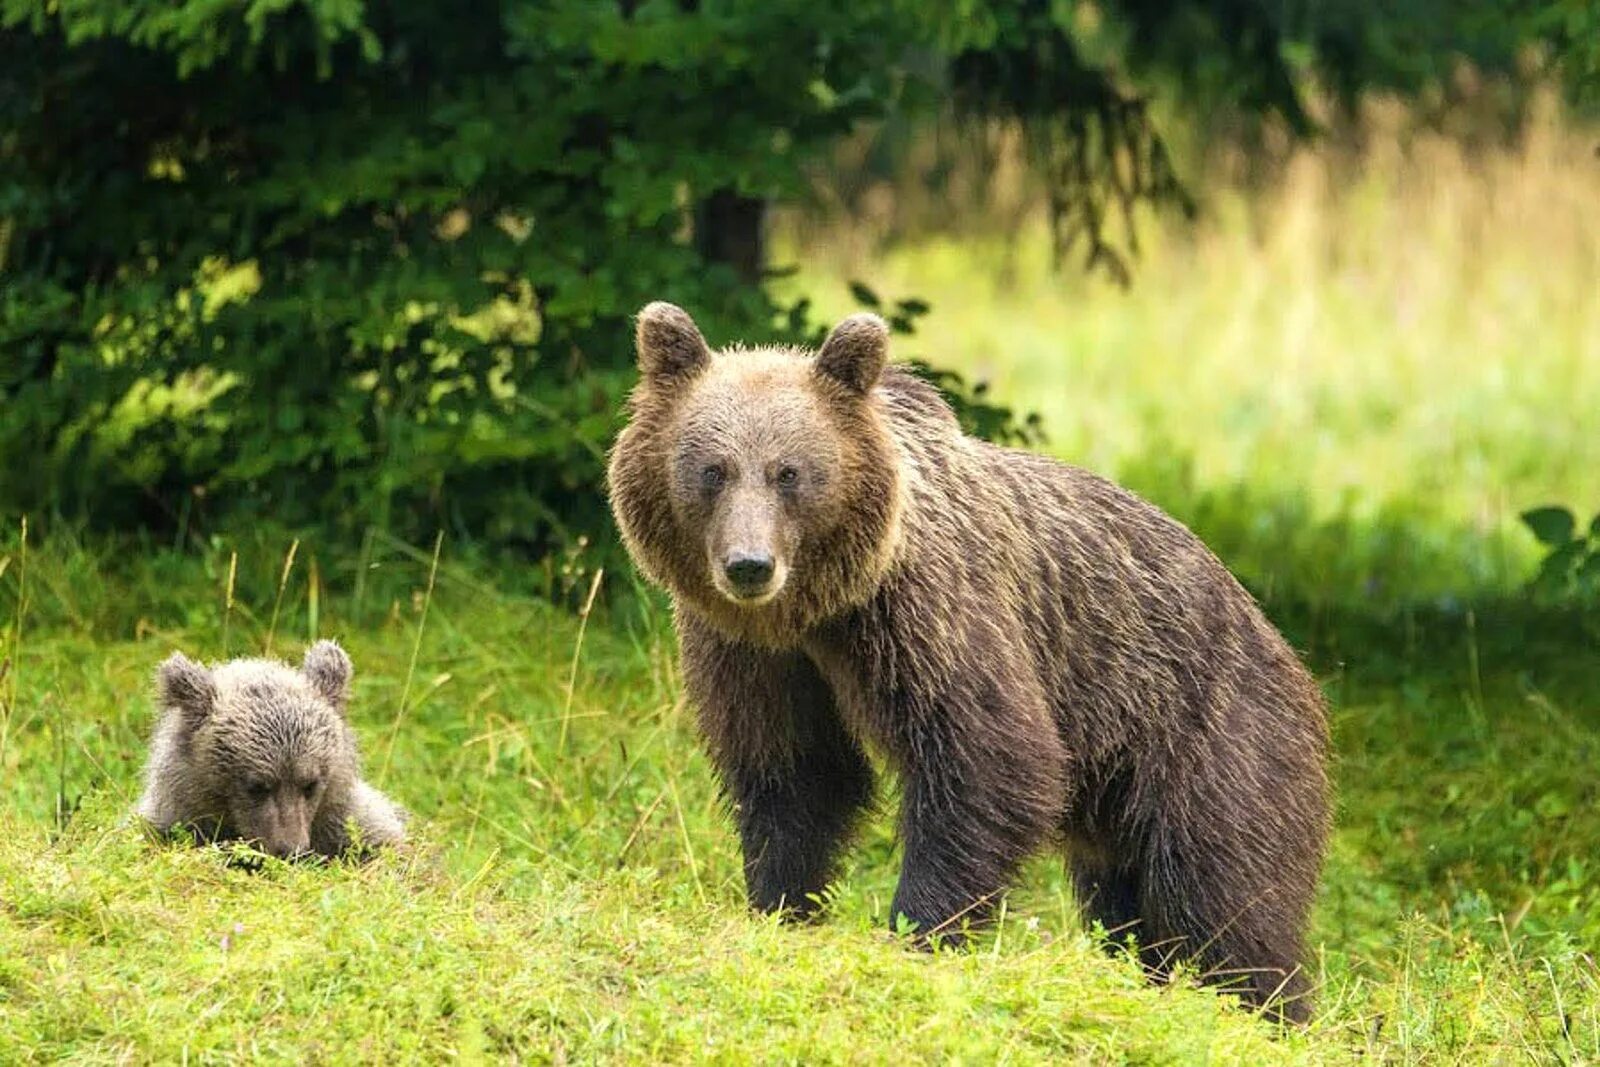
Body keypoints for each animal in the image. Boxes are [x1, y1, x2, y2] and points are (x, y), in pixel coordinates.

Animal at [607, 302, 1331, 1023]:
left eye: (790, 472)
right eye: (712, 469)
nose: (750, 565)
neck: (822, 610)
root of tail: (1283, 645)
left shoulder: (930, 614)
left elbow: (987, 758)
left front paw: (919, 927)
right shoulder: (759, 658)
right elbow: (795, 774)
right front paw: (781, 903)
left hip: (1211, 730)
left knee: (1226, 891)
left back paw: (1267, 1005)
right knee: (1127, 898)